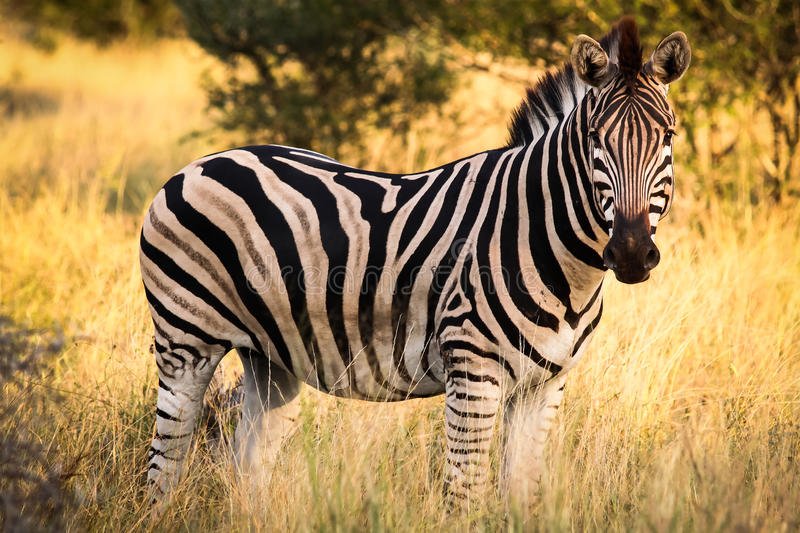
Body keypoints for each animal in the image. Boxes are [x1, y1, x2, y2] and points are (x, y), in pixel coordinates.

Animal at [141, 17, 690, 509]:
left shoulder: (546, 384)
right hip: (186, 341)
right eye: (595, 138)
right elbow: (465, 496)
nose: (631, 252)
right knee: (164, 465)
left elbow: (521, 496)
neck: (557, 256)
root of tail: (199, 164)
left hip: (271, 356)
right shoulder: (472, 370)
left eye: (668, 137)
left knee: (246, 467)